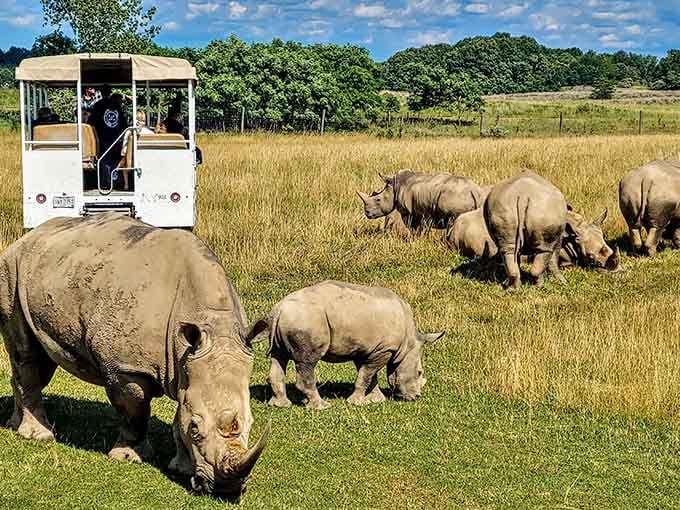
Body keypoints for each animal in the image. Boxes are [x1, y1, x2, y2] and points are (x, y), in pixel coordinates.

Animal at [0, 214, 269, 500]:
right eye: (196, 429)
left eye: (251, 424)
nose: (227, 489)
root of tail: (26, 238)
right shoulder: (126, 368)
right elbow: (136, 409)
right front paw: (128, 457)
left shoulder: (188, 364)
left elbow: (179, 413)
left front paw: (181, 467)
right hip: (11, 272)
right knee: (27, 356)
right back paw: (39, 436)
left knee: (36, 361)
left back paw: (15, 425)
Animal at [246, 281, 444, 410]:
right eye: (419, 373)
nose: (416, 397)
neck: (408, 343)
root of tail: (278, 309)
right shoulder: (384, 349)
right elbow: (366, 375)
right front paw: (358, 403)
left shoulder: (366, 349)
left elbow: (368, 375)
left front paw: (376, 400)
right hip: (306, 320)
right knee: (308, 361)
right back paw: (322, 407)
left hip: (291, 320)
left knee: (279, 356)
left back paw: (280, 405)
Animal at [357, 170, 486, 232]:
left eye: (378, 199)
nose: (367, 213)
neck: (394, 186)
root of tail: (474, 190)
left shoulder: (410, 212)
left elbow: (415, 227)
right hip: (475, 197)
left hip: (455, 196)